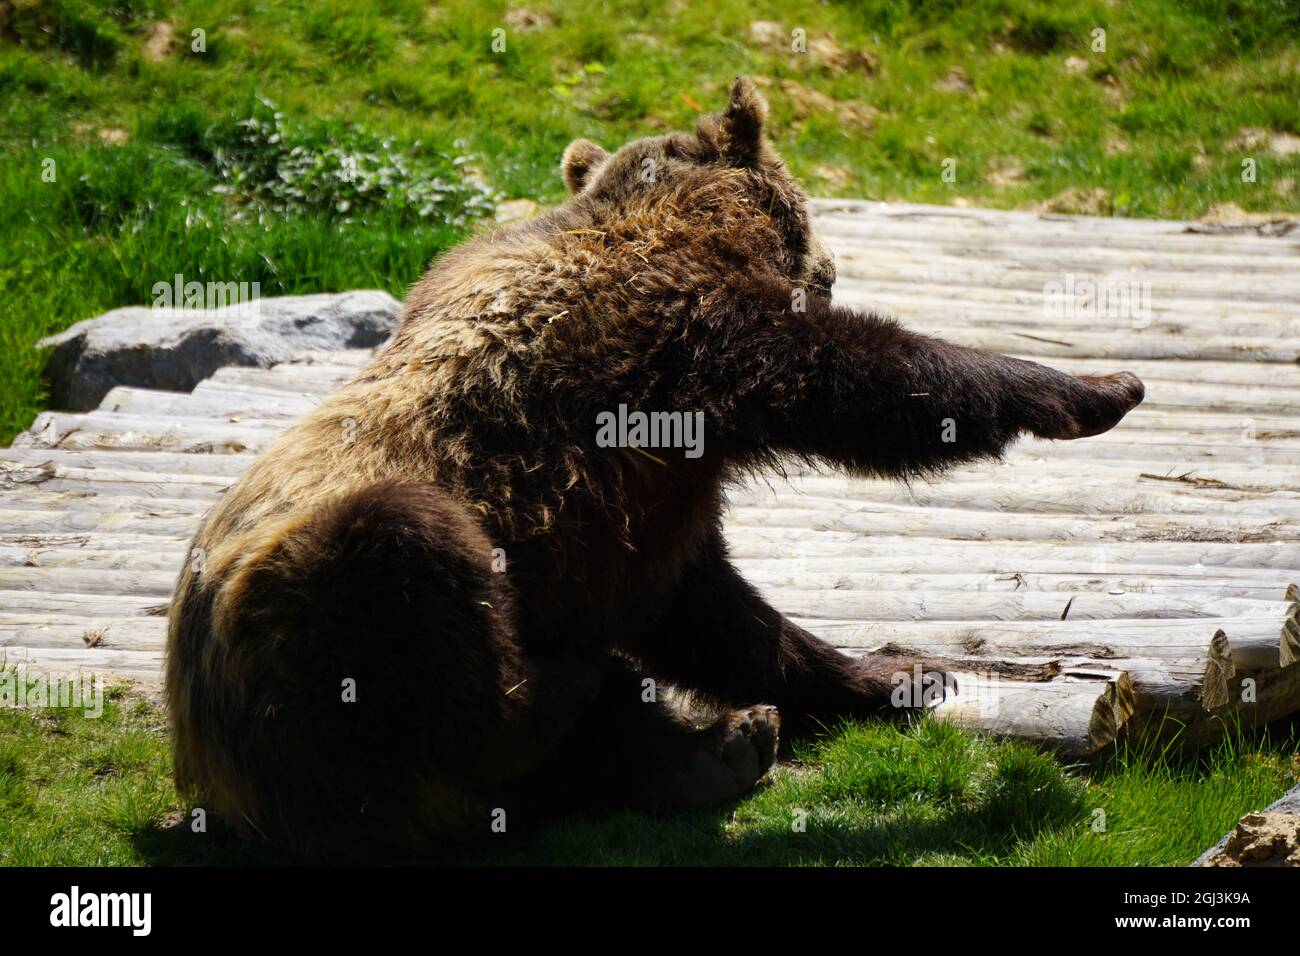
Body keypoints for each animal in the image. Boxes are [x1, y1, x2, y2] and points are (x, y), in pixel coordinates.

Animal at [165, 77, 1144, 861]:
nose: (832, 266)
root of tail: (215, 780)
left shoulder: (646, 498)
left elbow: (710, 608)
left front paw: (895, 674)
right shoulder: (679, 351)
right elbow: (863, 376)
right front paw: (1094, 387)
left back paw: (720, 745)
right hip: (309, 638)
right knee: (417, 568)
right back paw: (572, 698)